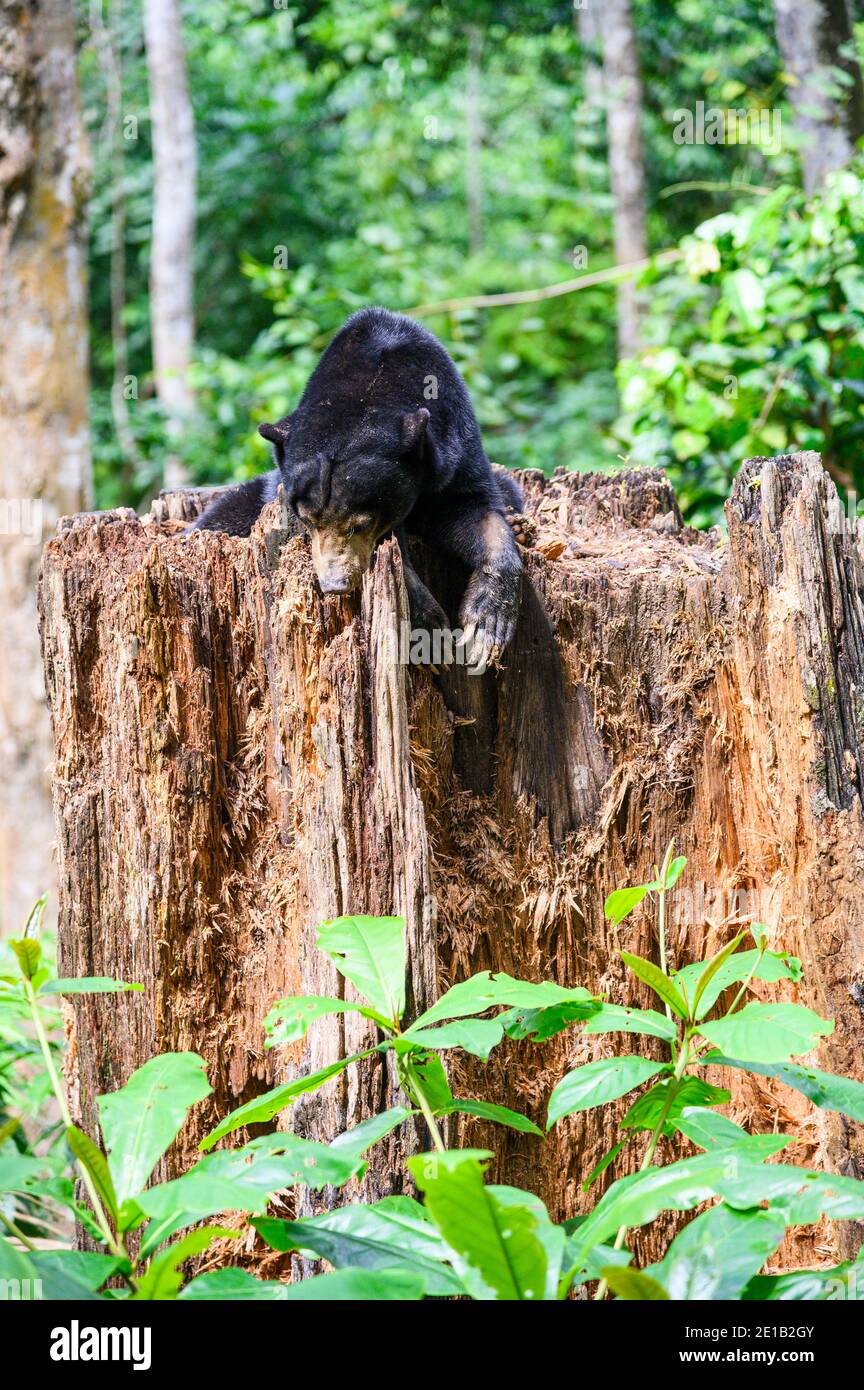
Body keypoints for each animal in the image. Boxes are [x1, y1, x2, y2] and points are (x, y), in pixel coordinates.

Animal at [191, 306, 525, 665]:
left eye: (359, 524)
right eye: (307, 520)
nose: (335, 584)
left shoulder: (456, 445)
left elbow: (474, 511)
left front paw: (486, 626)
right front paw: (429, 629)